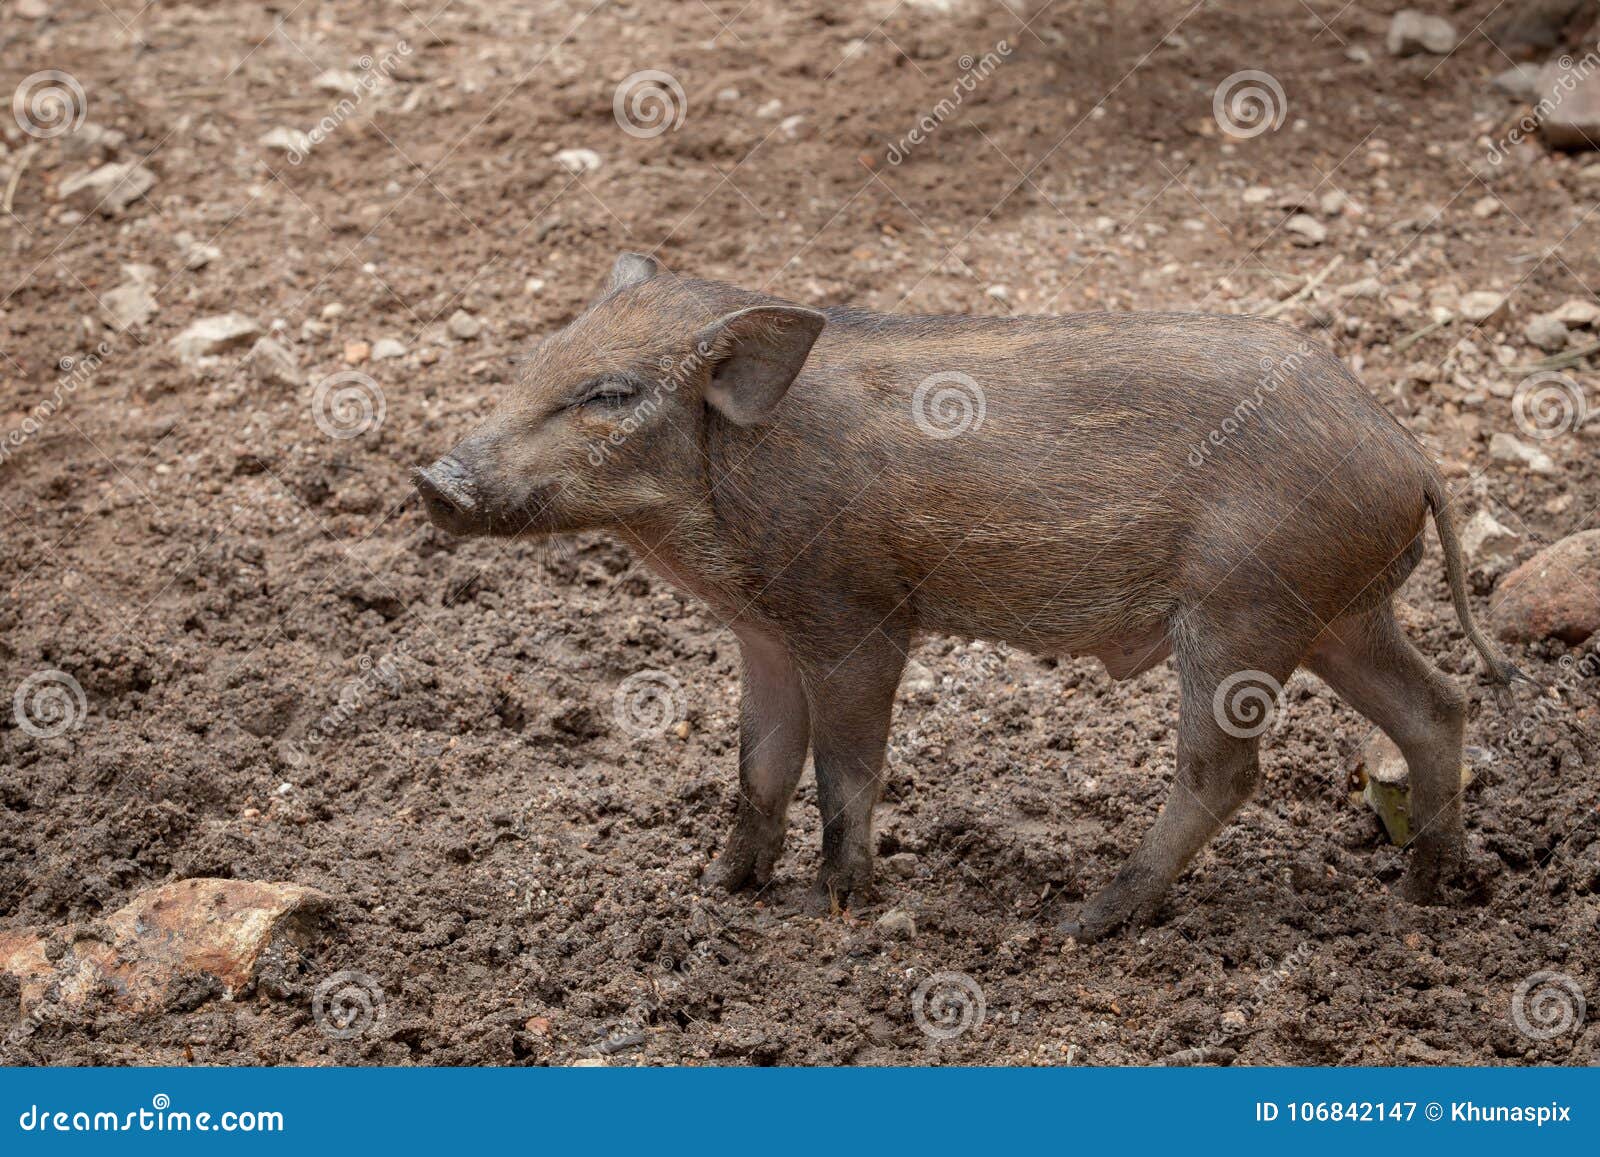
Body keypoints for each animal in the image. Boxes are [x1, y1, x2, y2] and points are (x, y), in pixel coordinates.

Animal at [413, 252, 1525, 941]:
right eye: (529, 363)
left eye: (611, 394)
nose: (435, 479)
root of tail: (1407, 452)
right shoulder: (762, 634)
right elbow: (759, 767)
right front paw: (716, 886)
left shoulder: (857, 619)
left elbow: (845, 771)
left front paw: (834, 905)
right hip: (1336, 614)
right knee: (1437, 705)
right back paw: (1426, 886)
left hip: (1242, 613)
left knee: (1223, 771)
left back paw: (1082, 921)